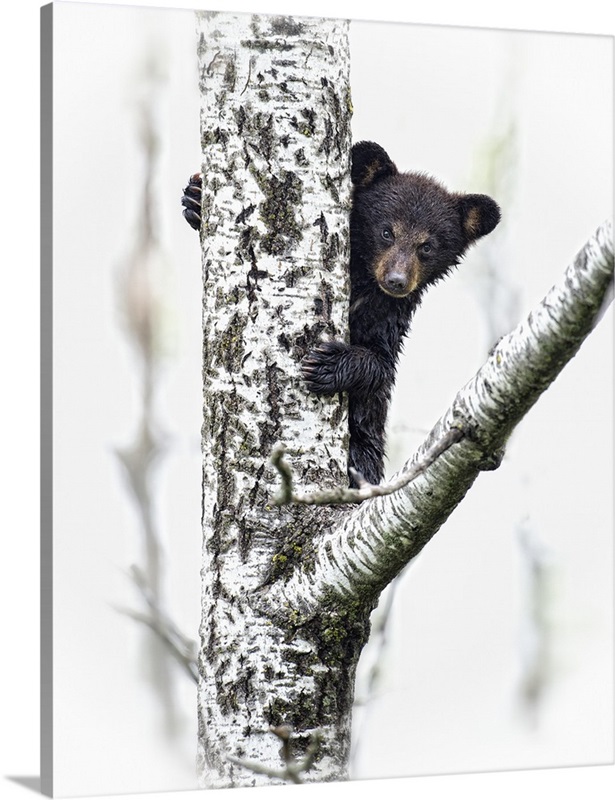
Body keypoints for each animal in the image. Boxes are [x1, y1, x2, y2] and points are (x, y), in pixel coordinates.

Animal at [181, 141, 500, 487]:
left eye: (427, 246)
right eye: (387, 232)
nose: (396, 281)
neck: (362, 284)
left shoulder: (387, 317)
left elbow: (380, 365)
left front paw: (327, 364)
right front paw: (195, 197)